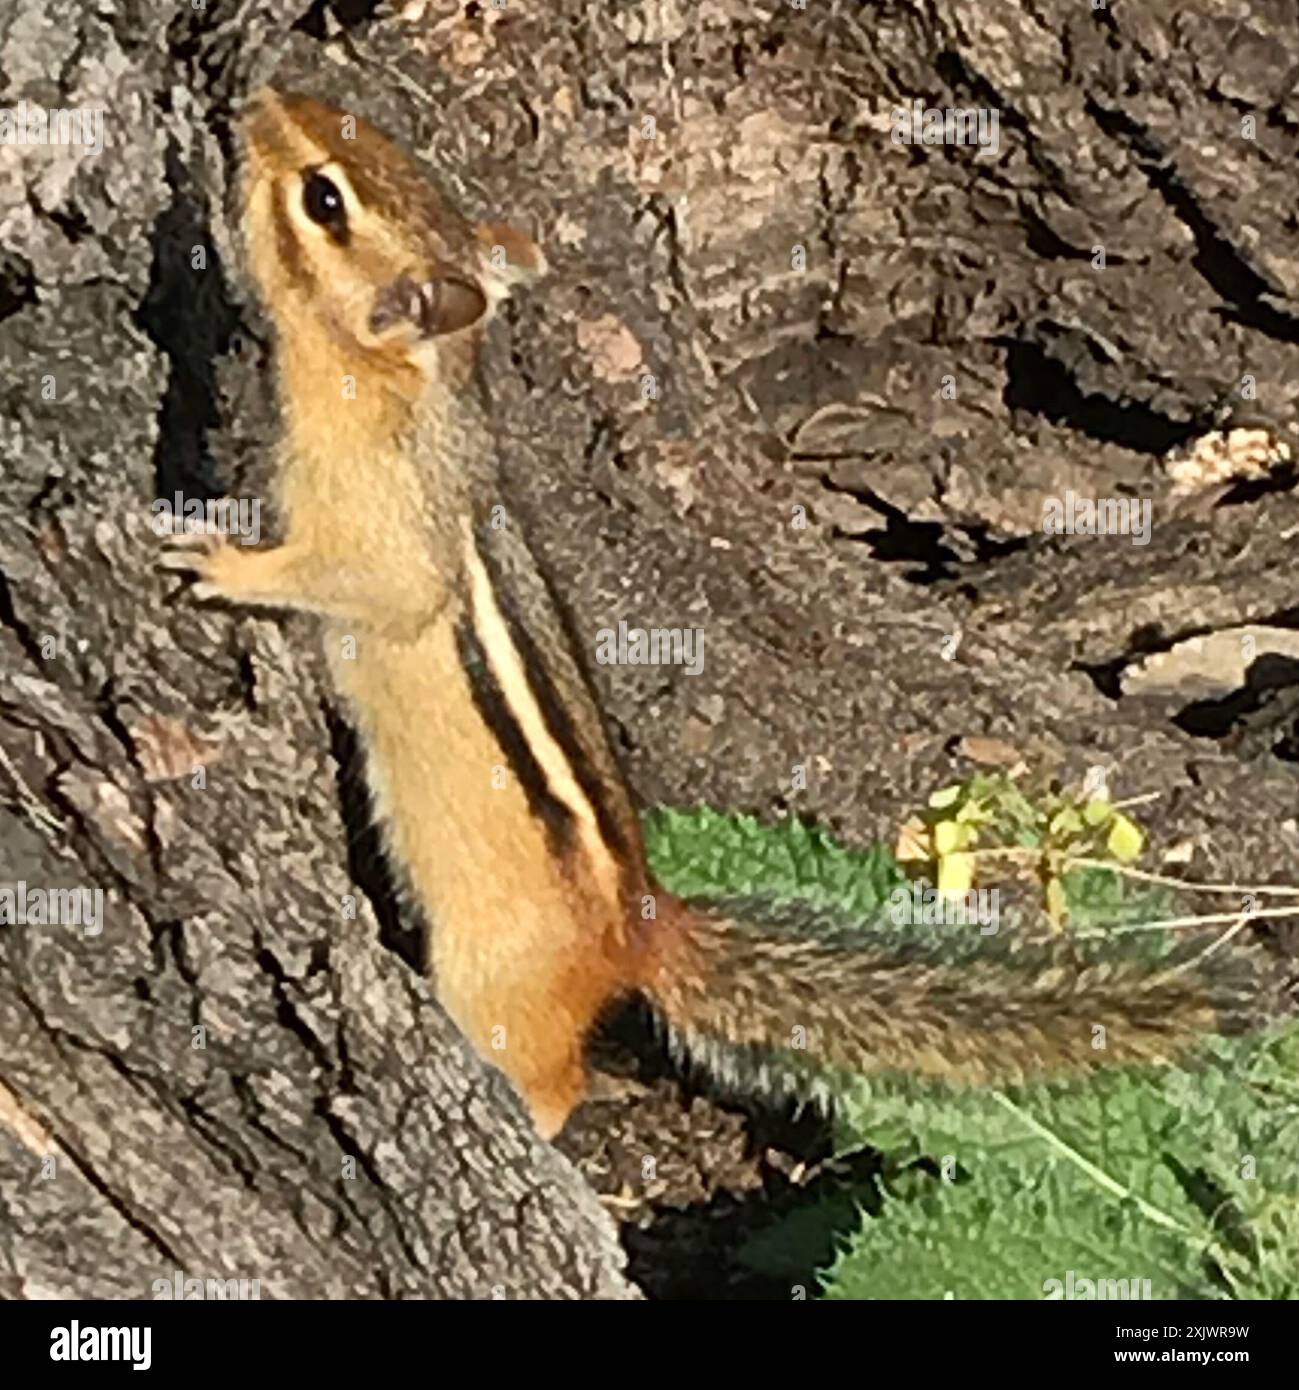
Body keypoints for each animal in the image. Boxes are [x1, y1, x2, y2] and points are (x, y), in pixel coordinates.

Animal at [161, 88, 1272, 1139]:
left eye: (325, 198)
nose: (260, 98)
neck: (395, 384)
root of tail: (641, 924)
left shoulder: (388, 528)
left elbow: (369, 585)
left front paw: (226, 561)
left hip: (492, 987)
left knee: (553, 1082)